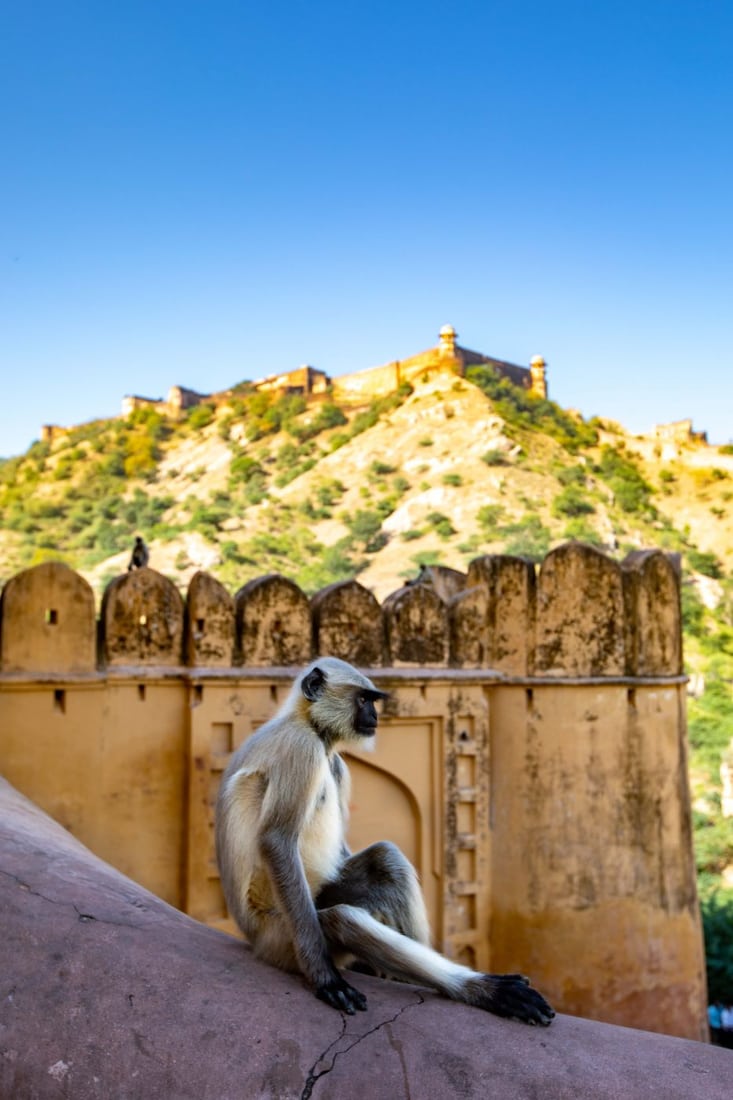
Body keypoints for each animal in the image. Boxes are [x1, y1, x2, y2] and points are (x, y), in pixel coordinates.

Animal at [215, 656, 554, 1025]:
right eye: (364, 700)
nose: (374, 717)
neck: (307, 724)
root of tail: (252, 939)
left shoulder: (336, 764)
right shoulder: (300, 748)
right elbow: (277, 841)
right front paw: (325, 977)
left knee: (386, 859)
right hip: (280, 938)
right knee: (342, 920)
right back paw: (484, 990)